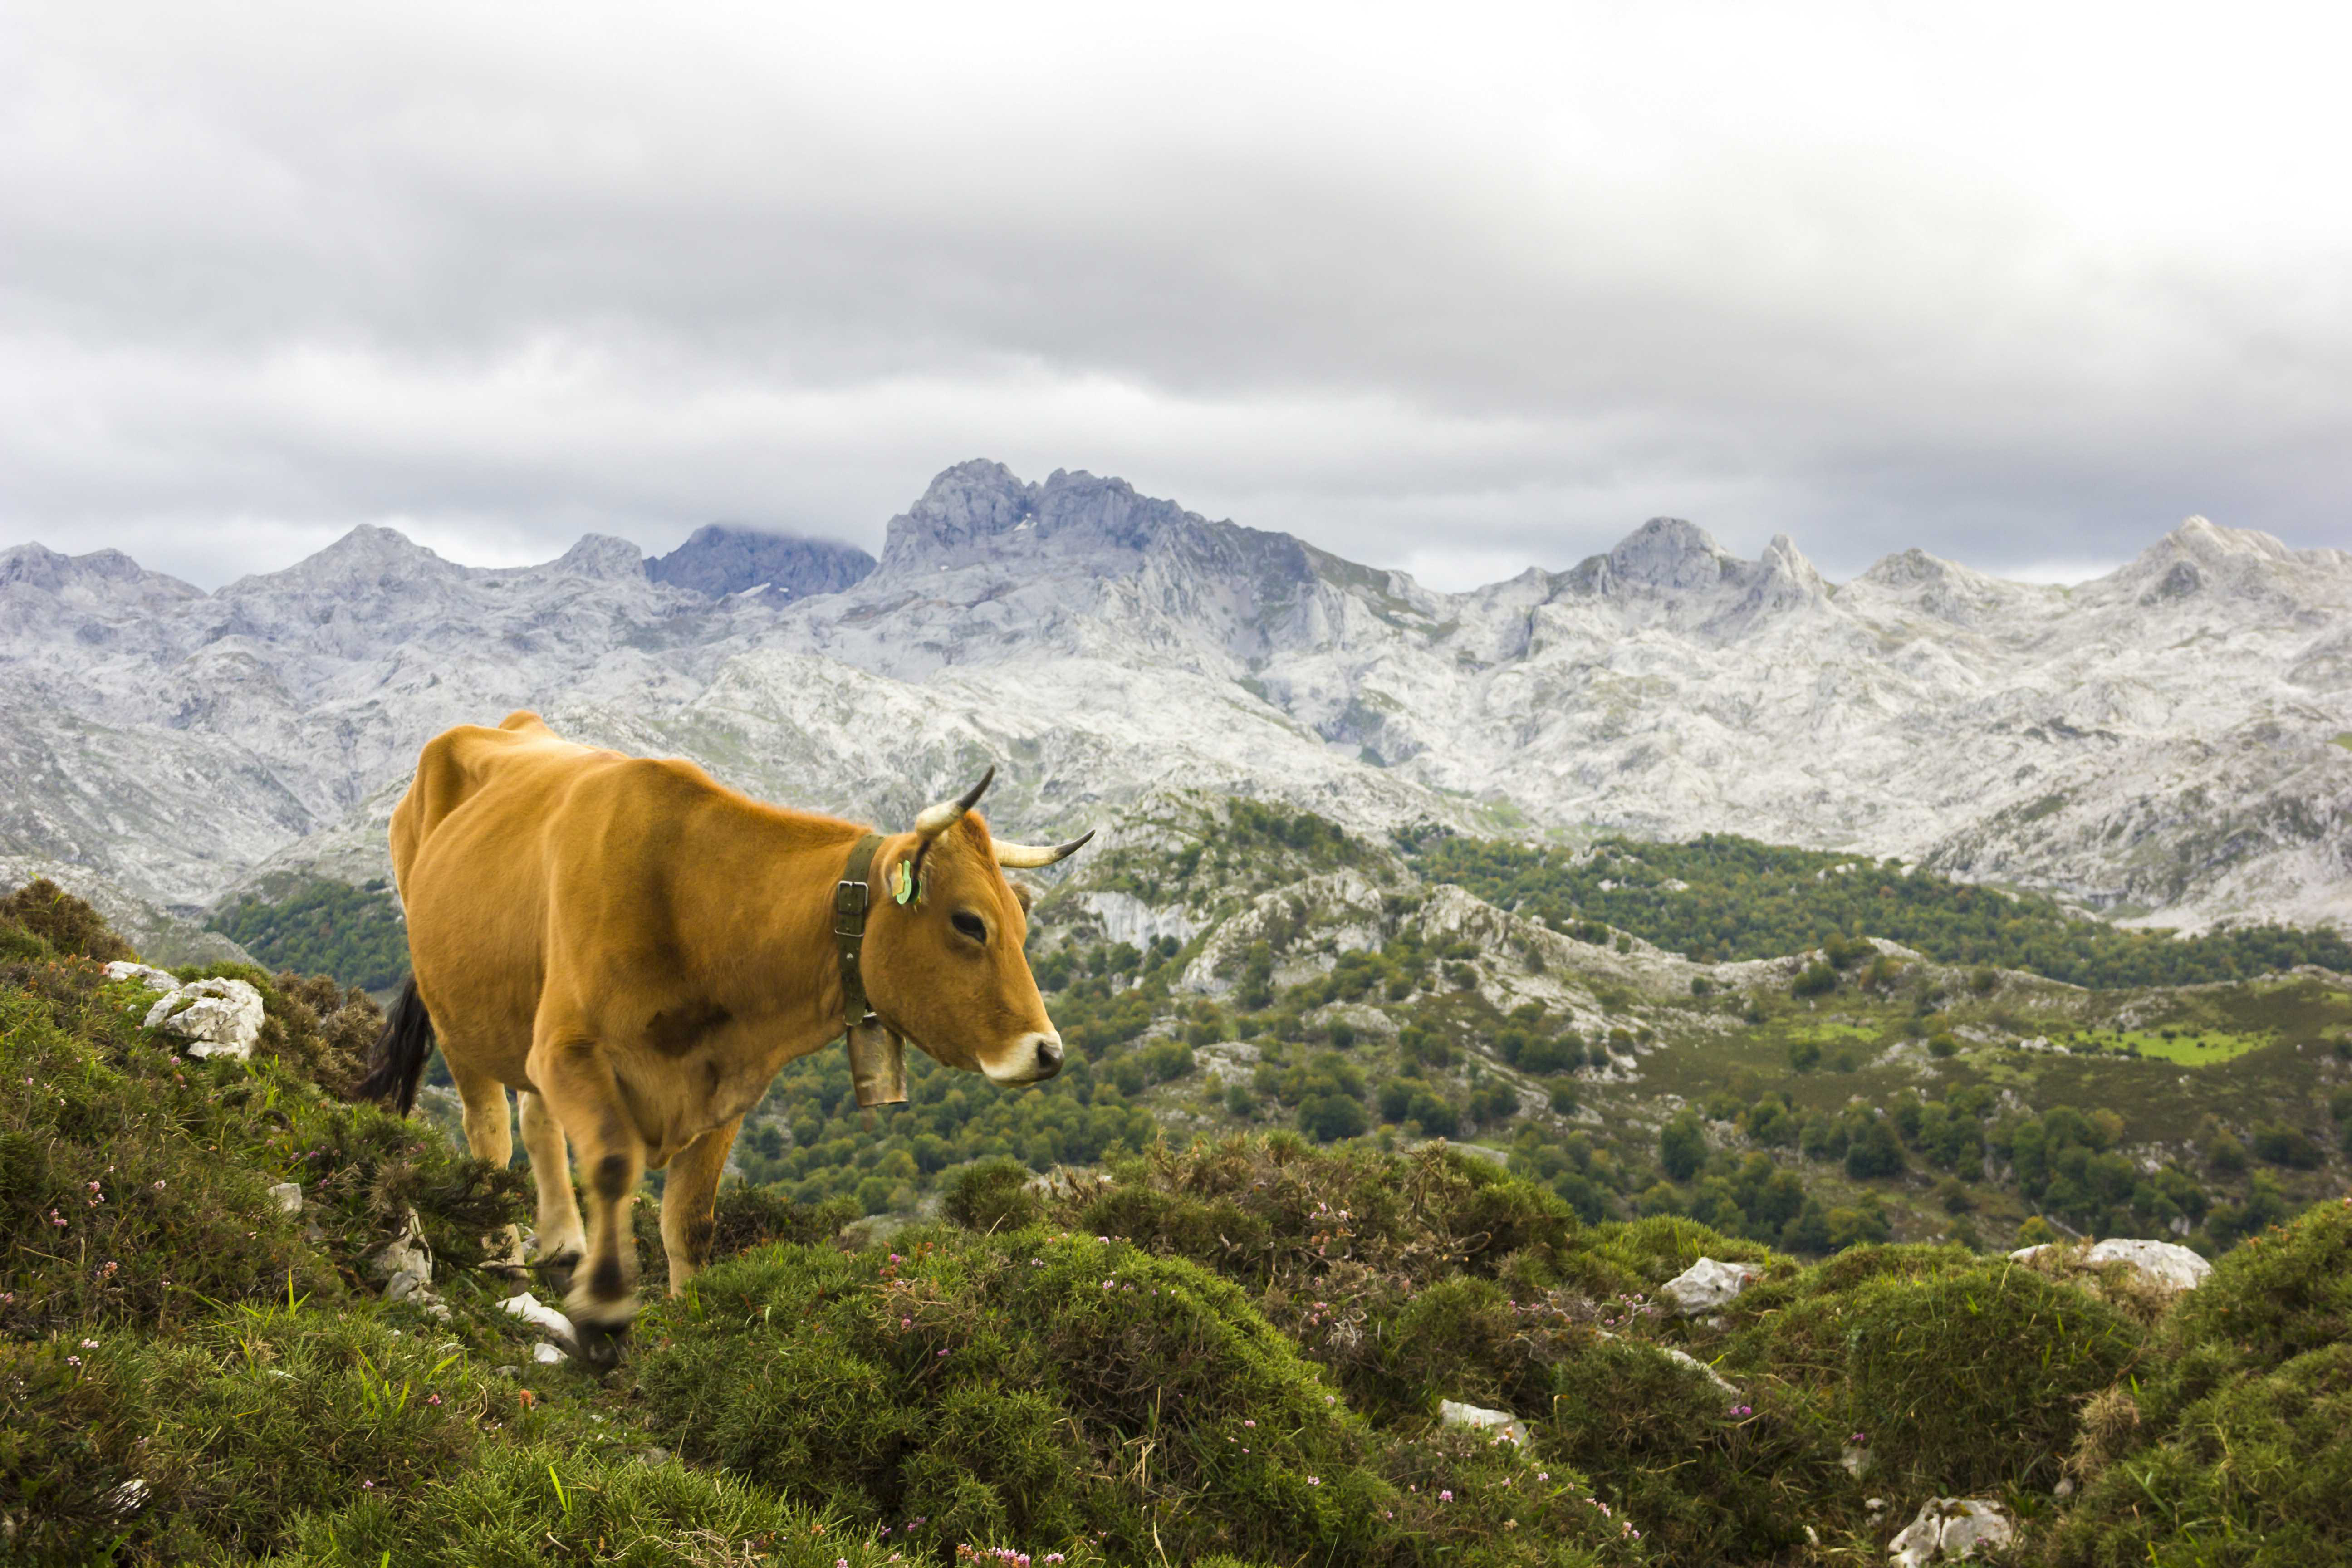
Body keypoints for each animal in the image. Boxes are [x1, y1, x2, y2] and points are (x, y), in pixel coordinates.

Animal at [352, 711, 1089, 1363]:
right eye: (969, 923)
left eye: (1023, 922)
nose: (1048, 1051)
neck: (689, 897)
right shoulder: (569, 1050)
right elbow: (613, 1165)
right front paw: (606, 1312)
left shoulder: (726, 1081)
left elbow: (691, 1220)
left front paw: (691, 1323)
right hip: (455, 1012)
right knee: (487, 1135)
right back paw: (505, 1251)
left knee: (534, 1119)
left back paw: (562, 1241)